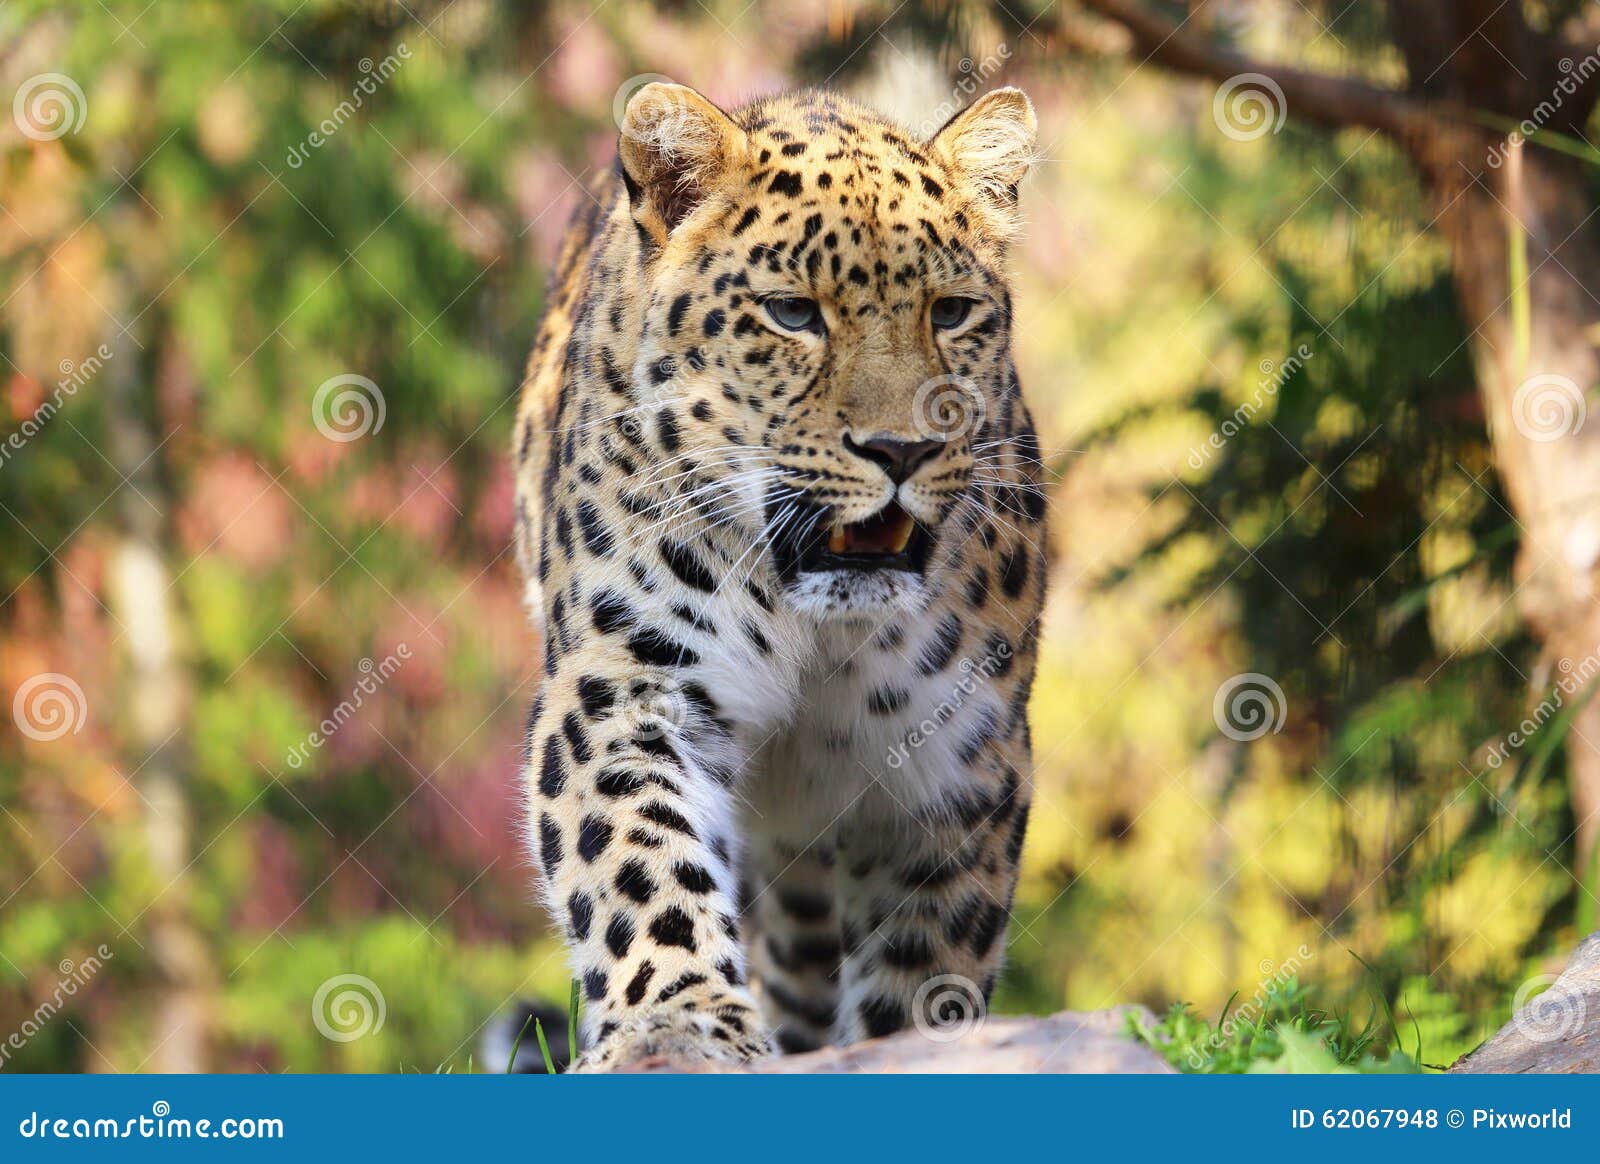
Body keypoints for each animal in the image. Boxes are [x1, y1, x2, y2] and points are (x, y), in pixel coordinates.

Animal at [512, 81, 1046, 1071]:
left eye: (951, 312)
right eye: (793, 314)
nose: (901, 450)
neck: (818, 629)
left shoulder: (957, 760)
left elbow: (926, 961)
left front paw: (913, 1044)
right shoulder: (625, 687)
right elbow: (641, 863)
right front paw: (675, 1027)